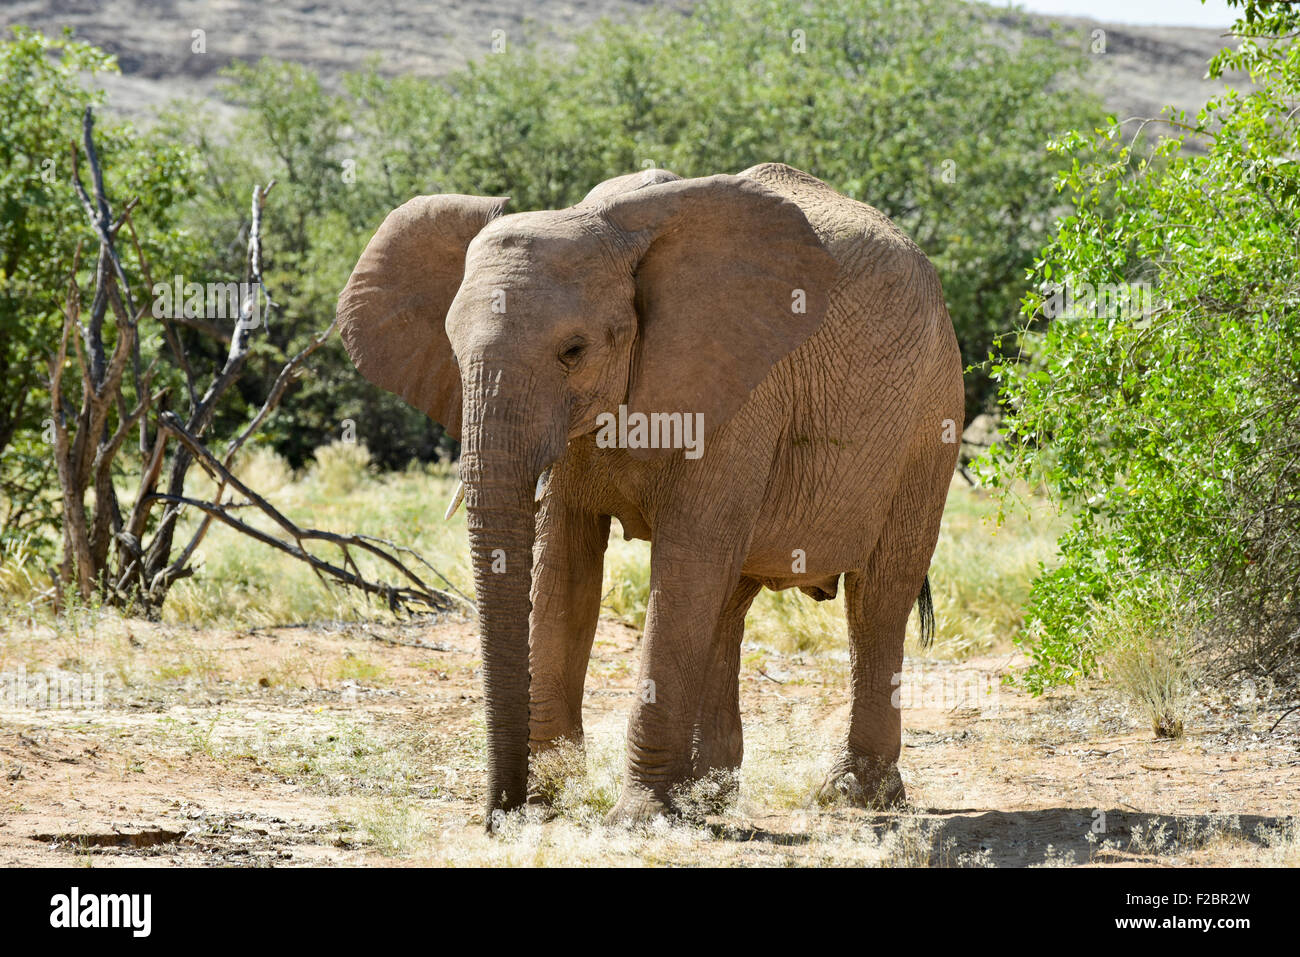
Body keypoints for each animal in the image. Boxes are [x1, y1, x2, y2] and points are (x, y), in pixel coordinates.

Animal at [336, 162, 963, 826]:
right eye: (453, 352)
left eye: (574, 351)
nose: (499, 816)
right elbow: (565, 568)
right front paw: (555, 796)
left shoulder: (739, 386)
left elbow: (684, 564)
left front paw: (634, 817)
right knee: (730, 598)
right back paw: (710, 795)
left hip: (930, 421)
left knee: (878, 595)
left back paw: (855, 795)